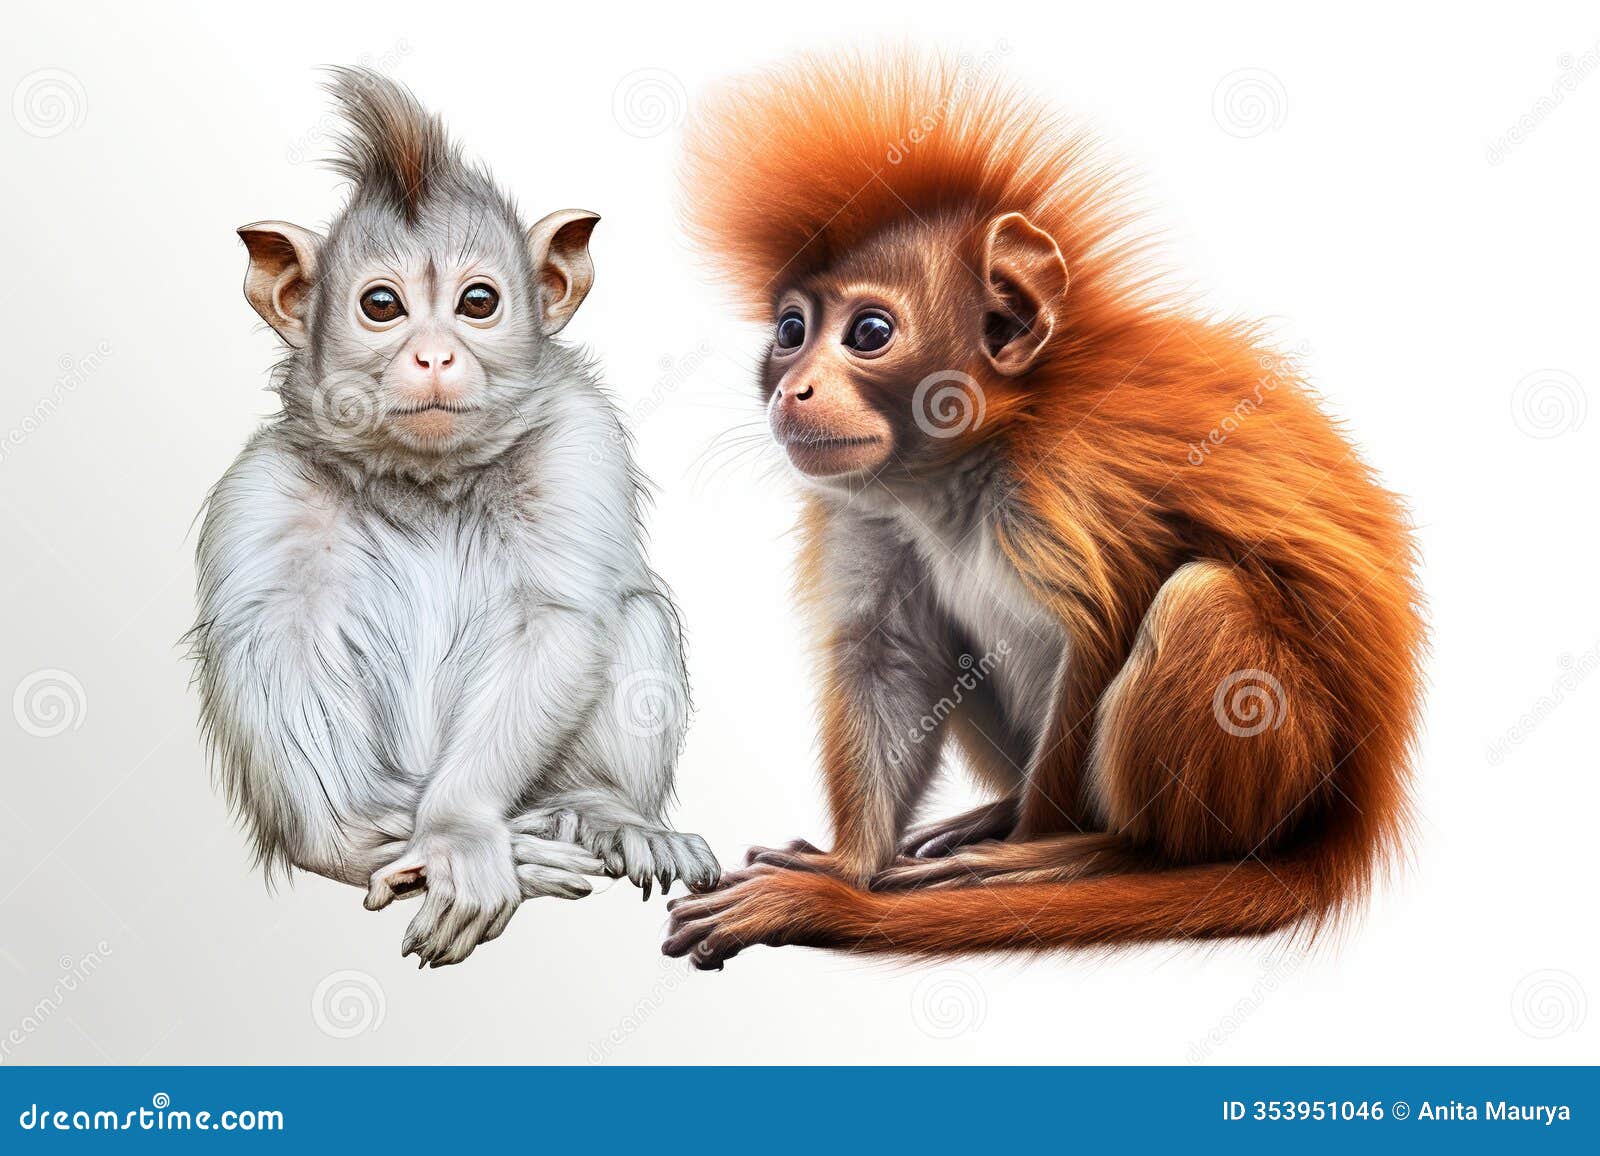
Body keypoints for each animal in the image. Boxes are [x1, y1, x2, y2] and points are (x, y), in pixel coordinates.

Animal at [187, 68, 718, 968]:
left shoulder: (579, 445)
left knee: (636, 611)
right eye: (381, 305)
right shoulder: (265, 491)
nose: (434, 355)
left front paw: (458, 831)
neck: (427, 482)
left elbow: (557, 619)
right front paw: (364, 843)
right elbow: (277, 642)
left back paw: (604, 810)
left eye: (477, 302)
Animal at [664, 50, 1424, 968]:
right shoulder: (877, 513)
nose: (793, 391)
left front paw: (1031, 852)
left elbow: (1099, 634)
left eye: (869, 333)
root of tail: (1346, 820)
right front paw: (849, 866)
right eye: (789, 331)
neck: (963, 471)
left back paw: (1091, 853)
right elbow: (893, 654)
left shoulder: (1066, 482)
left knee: (1202, 598)